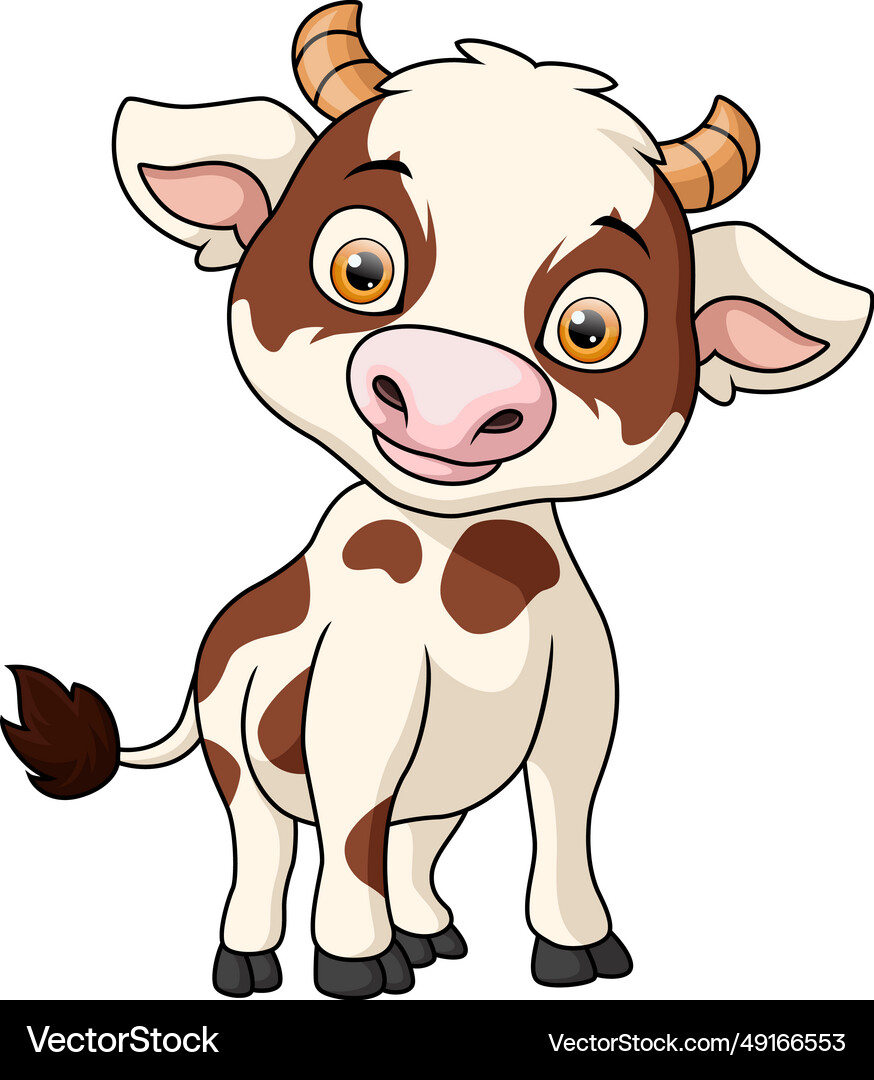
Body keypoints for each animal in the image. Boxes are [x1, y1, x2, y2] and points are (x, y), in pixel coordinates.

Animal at [2, 2, 870, 1001]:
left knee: (415, 845)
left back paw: (430, 935)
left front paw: (579, 949)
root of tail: (213, 637)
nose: (450, 387)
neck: (474, 579)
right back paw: (252, 959)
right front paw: (354, 962)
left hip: (444, 785)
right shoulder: (358, 704)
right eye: (360, 266)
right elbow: (350, 834)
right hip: (233, 752)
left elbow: (565, 821)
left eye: (592, 327)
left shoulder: (581, 702)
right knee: (266, 850)